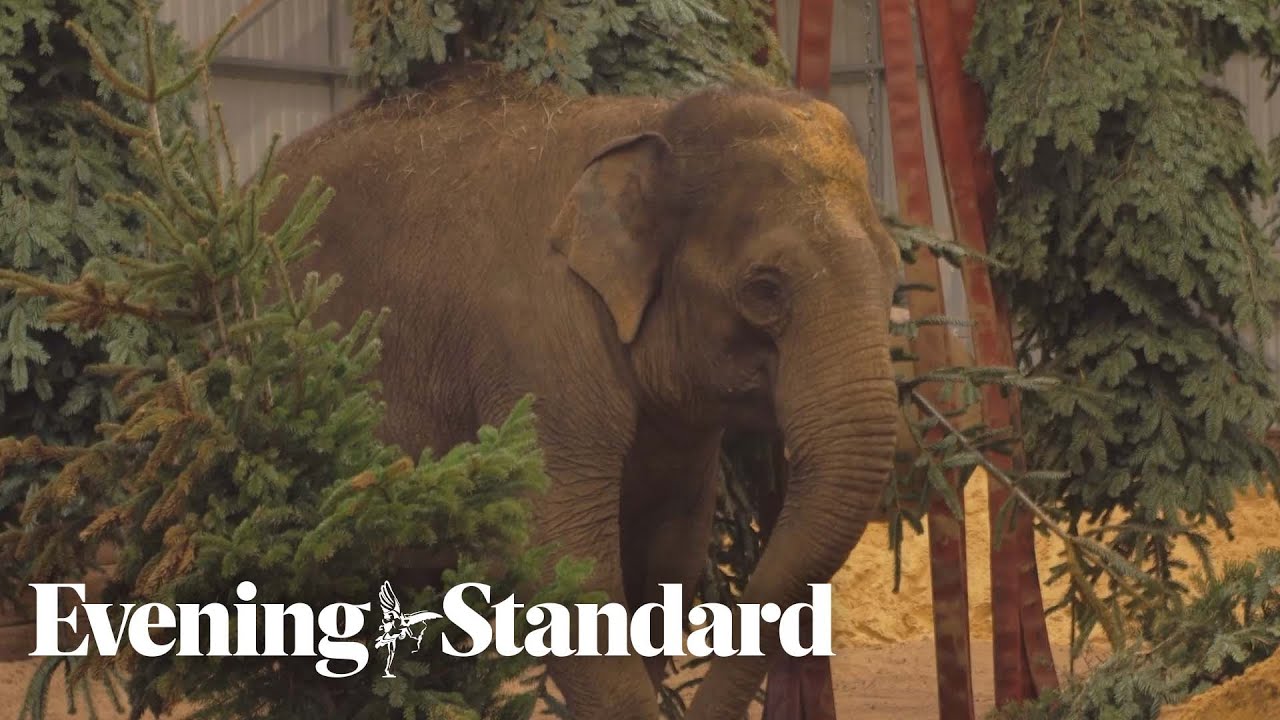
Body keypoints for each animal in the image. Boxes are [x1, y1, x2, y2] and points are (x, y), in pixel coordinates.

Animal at [265, 64, 901, 720]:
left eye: (894, 272)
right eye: (764, 289)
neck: (651, 119)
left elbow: (669, 552)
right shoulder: (536, 344)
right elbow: (564, 553)